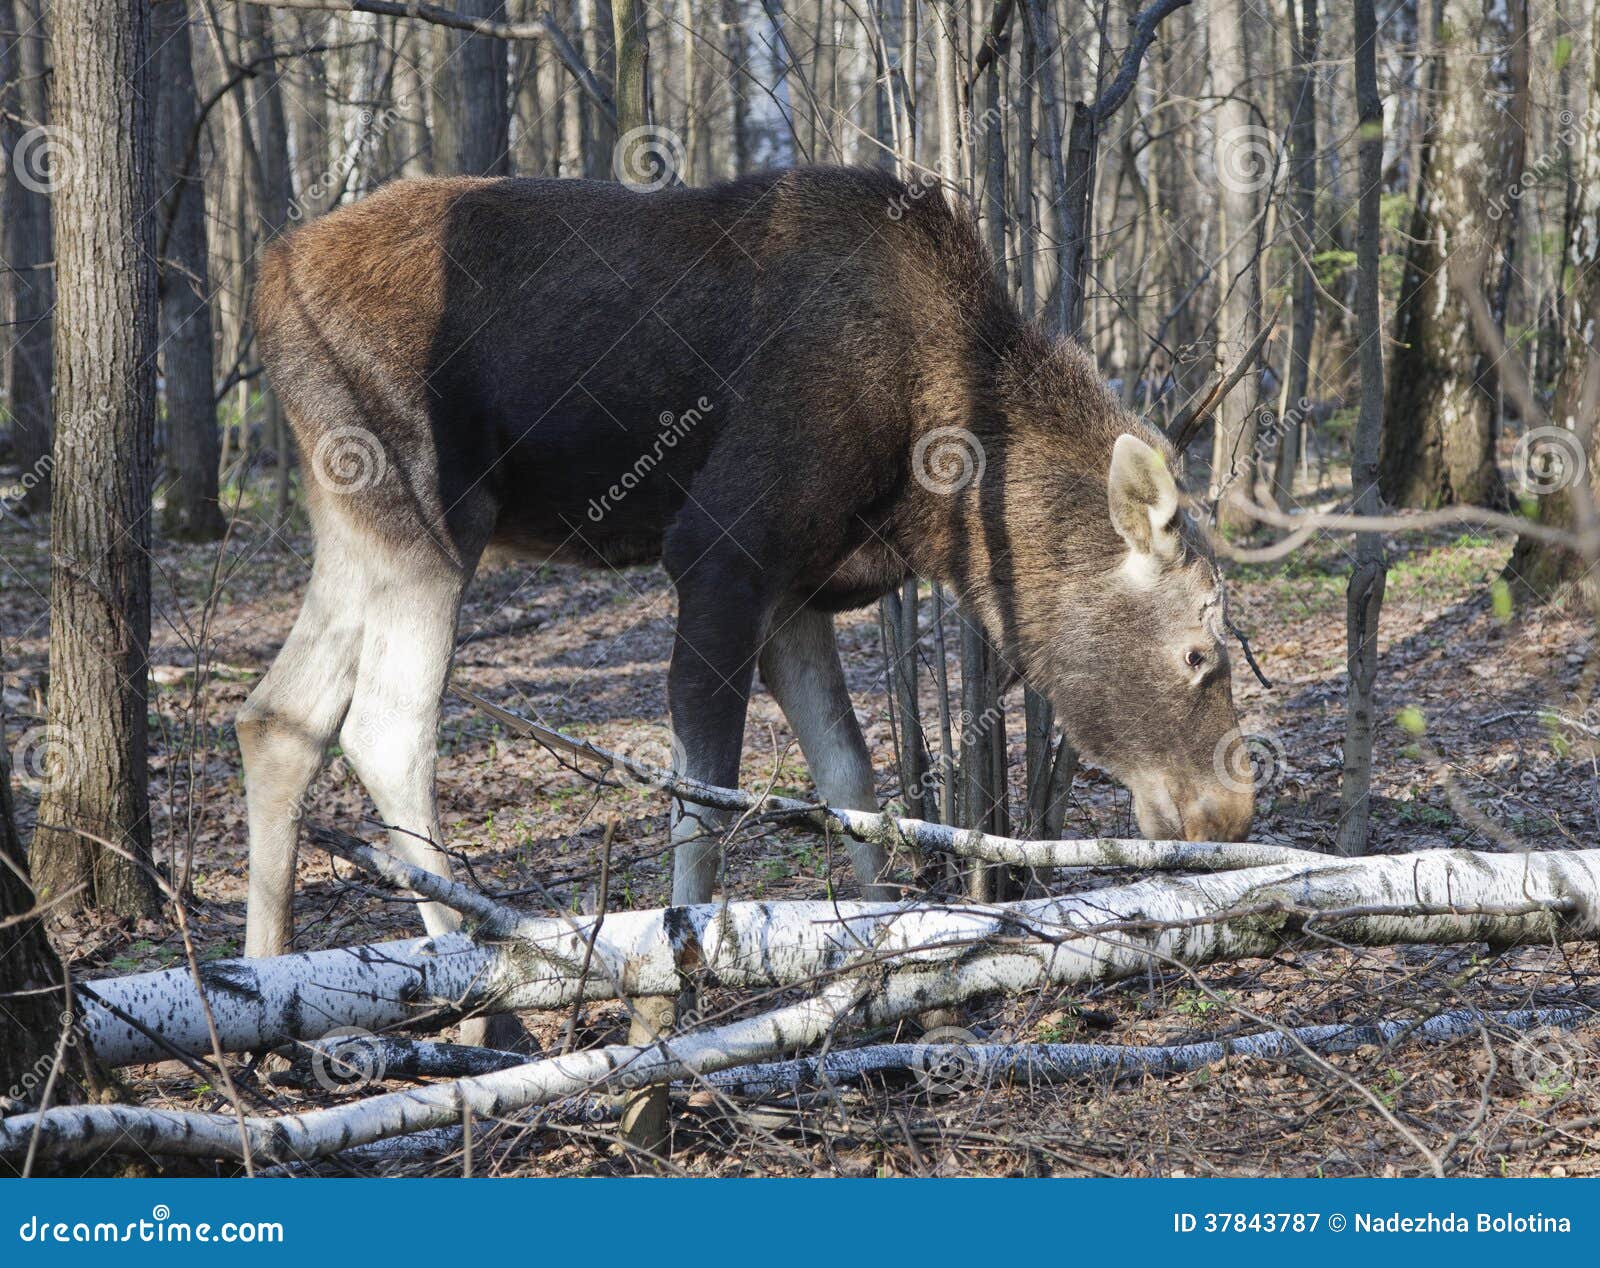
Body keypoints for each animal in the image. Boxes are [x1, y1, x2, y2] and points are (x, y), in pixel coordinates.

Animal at [240, 166, 1255, 1013]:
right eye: (1197, 652)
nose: (1231, 812)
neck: (938, 488)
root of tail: (266, 274)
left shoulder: (795, 591)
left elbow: (850, 777)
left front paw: (894, 969)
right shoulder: (717, 553)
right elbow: (704, 797)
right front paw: (675, 989)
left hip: (354, 517)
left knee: (278, 714)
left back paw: (263, 977)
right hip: (428, 503)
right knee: (385, 729)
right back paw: (478, 996)